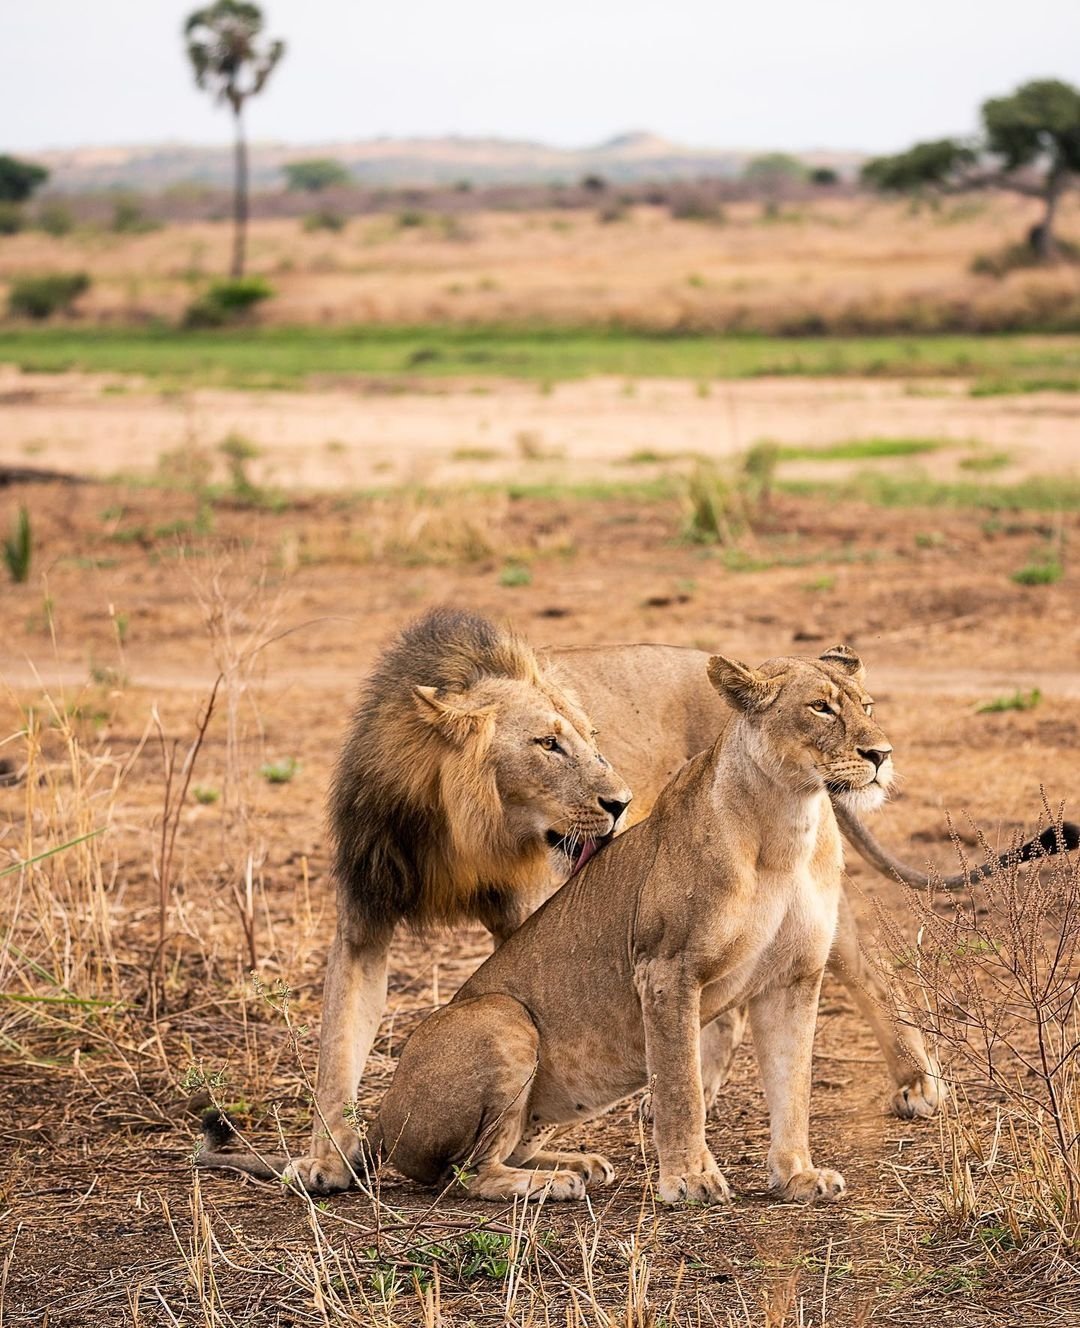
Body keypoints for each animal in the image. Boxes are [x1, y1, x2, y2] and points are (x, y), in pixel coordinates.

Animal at [197, 608, 1076, 1195]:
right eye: (820, 707)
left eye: (867, 705)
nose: (881, 752)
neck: (784, 827)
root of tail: (381, 1135)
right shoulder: (661, 967)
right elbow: (682, 1081)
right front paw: (689, 1176)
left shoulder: (791, 980)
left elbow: (788, 1085)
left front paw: (794, 1174)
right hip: (505, 1019)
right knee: (464, 1171)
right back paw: (551, 1178)